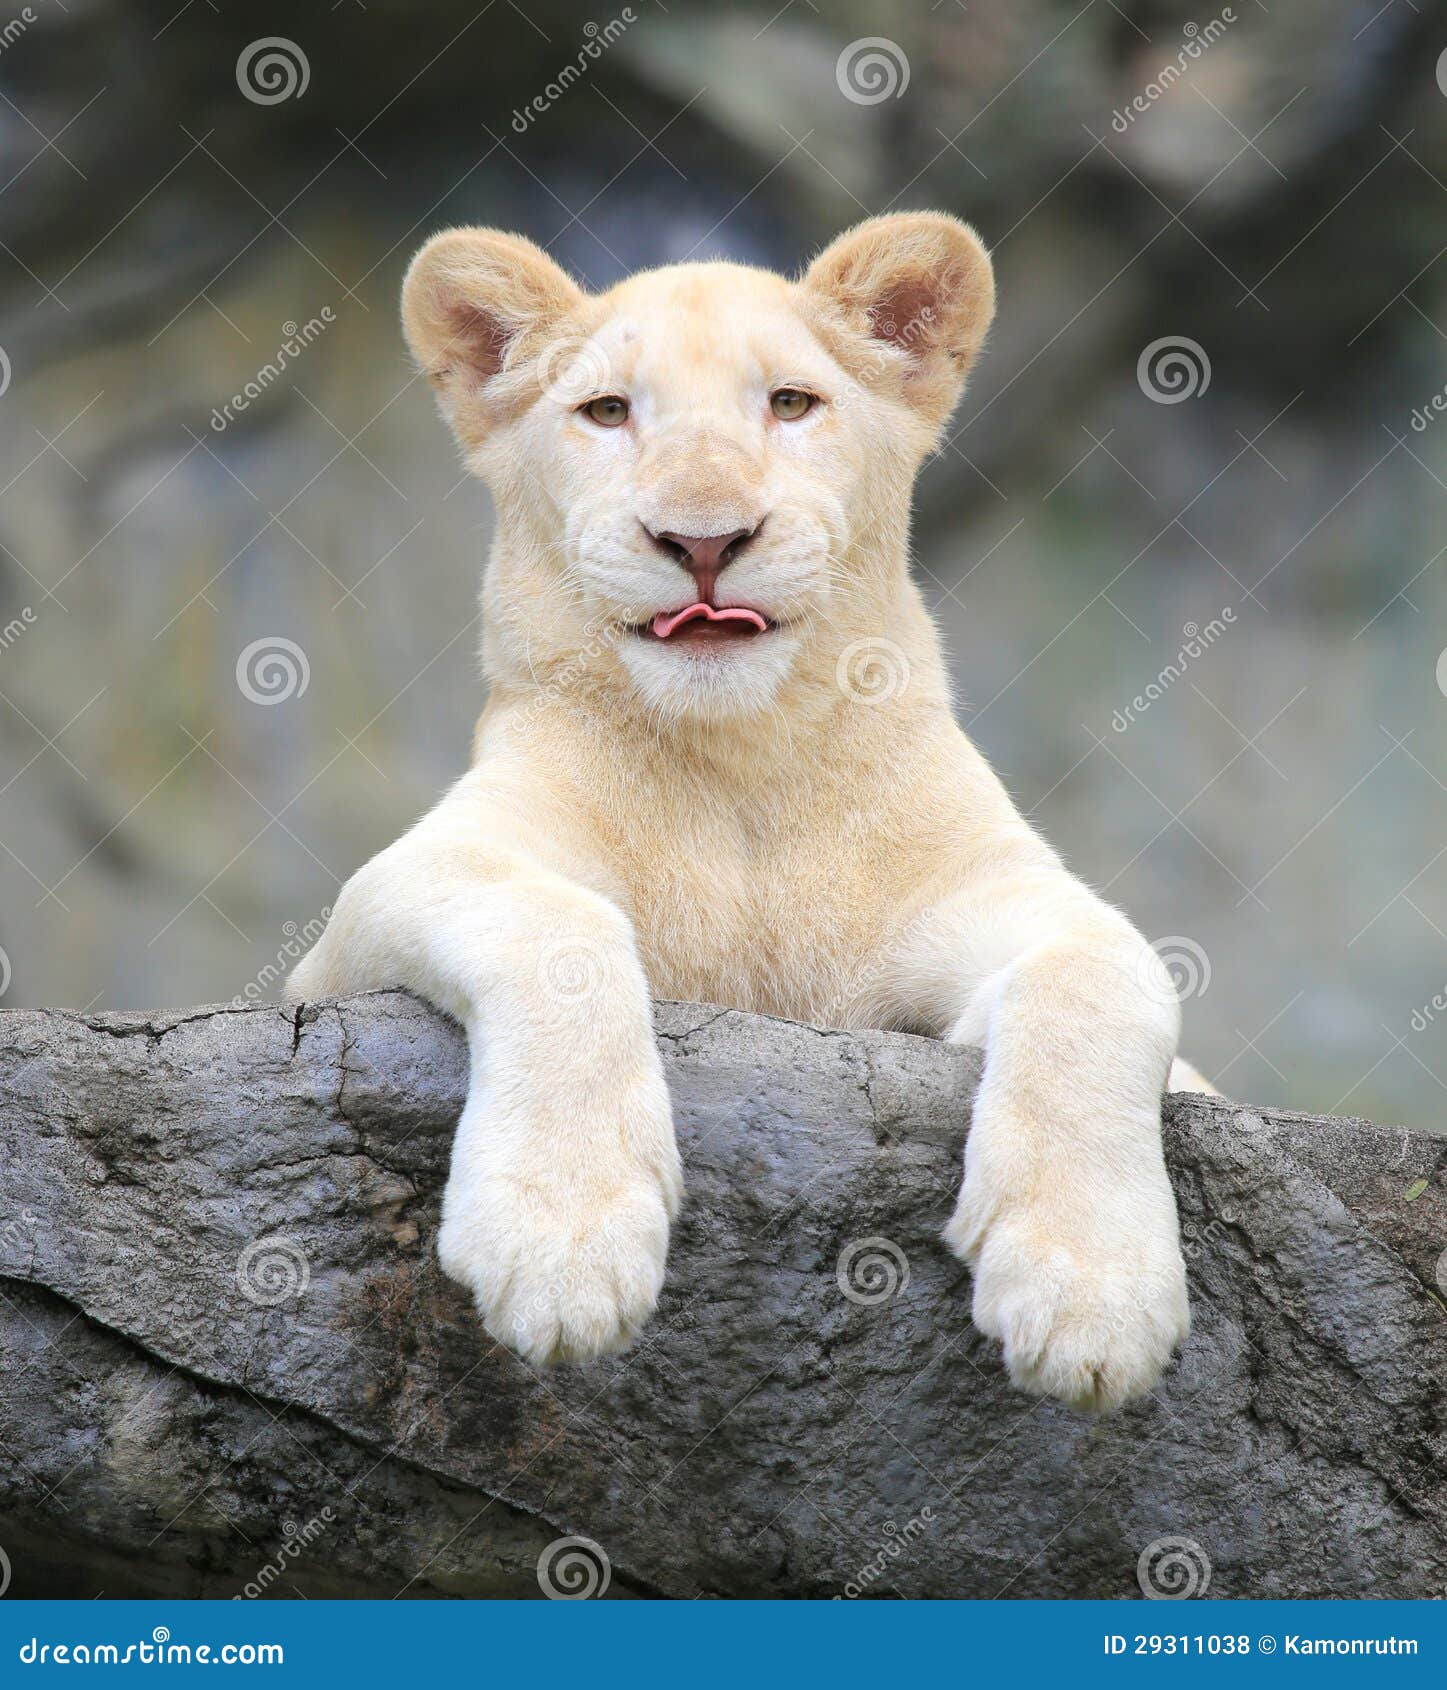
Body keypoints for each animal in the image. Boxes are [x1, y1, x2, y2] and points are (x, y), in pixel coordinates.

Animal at [290, 212, 1210, 1412]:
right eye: (607, 411)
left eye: (789, 402)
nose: (703, 540)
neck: (743, 765)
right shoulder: (377, 912)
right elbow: (560, 931)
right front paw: (562, 1246)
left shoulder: (993, 887)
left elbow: (1106, 977)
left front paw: (1088, 1295)